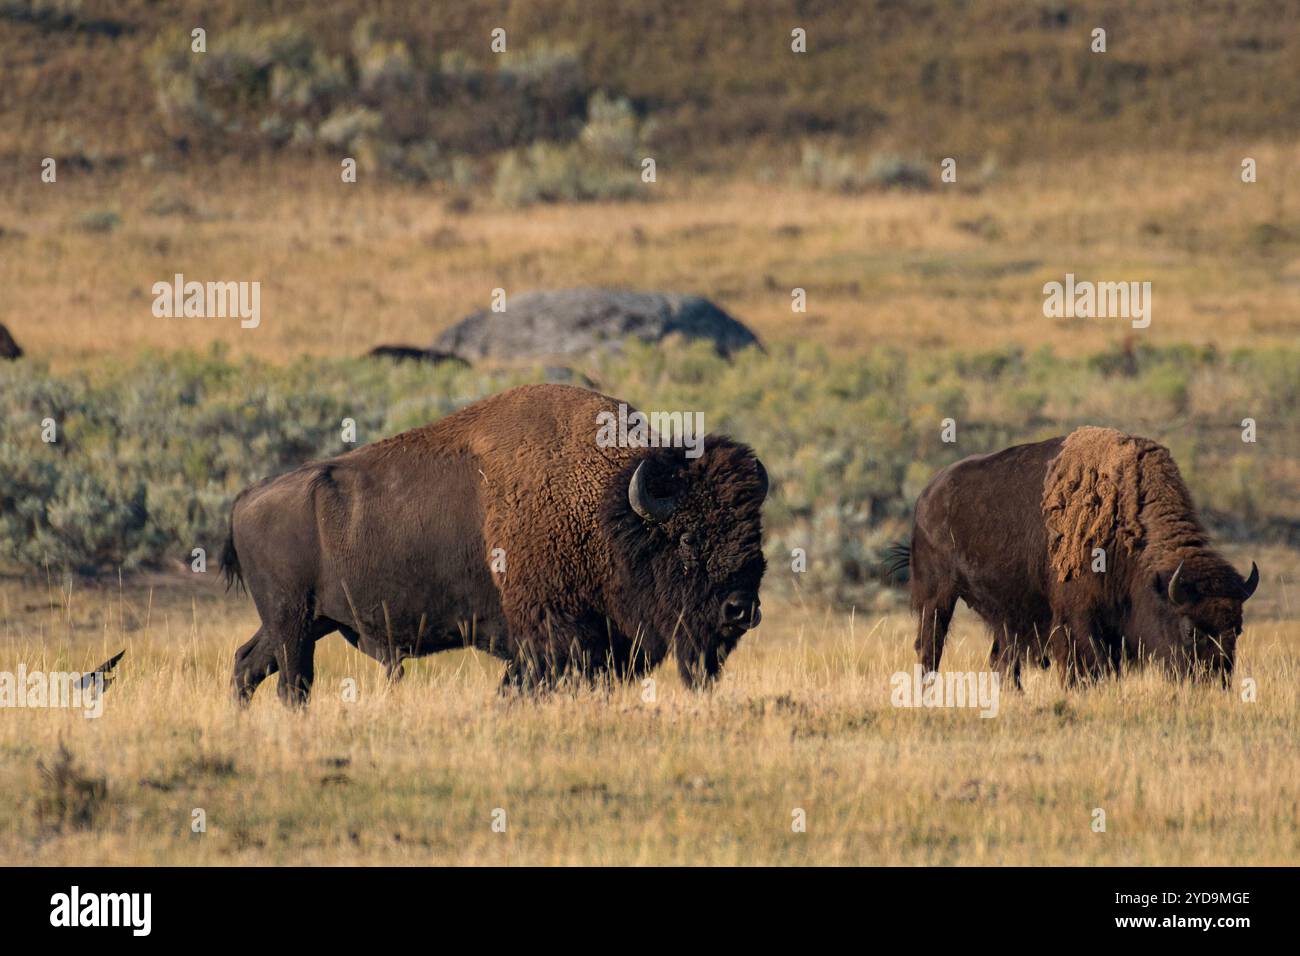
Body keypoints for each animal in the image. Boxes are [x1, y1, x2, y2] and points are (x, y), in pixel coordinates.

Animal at [222, 383, 768, 706]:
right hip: (293, 623)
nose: (740, 609)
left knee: (249, 664)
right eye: (688, 536)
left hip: (309, 622)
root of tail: (246, 498)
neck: (606, 508)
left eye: (754, 536)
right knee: (291, 682)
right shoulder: (549, 637)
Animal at [896, 427, 1258, 688]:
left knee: (1003, 658)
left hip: (1006, 612)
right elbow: (1086, 663)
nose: (1213, 682)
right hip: (937, 597)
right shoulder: (1078, 616)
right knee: (930, 645)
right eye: (1190, 630)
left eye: (1236, 629)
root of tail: (926, 496)